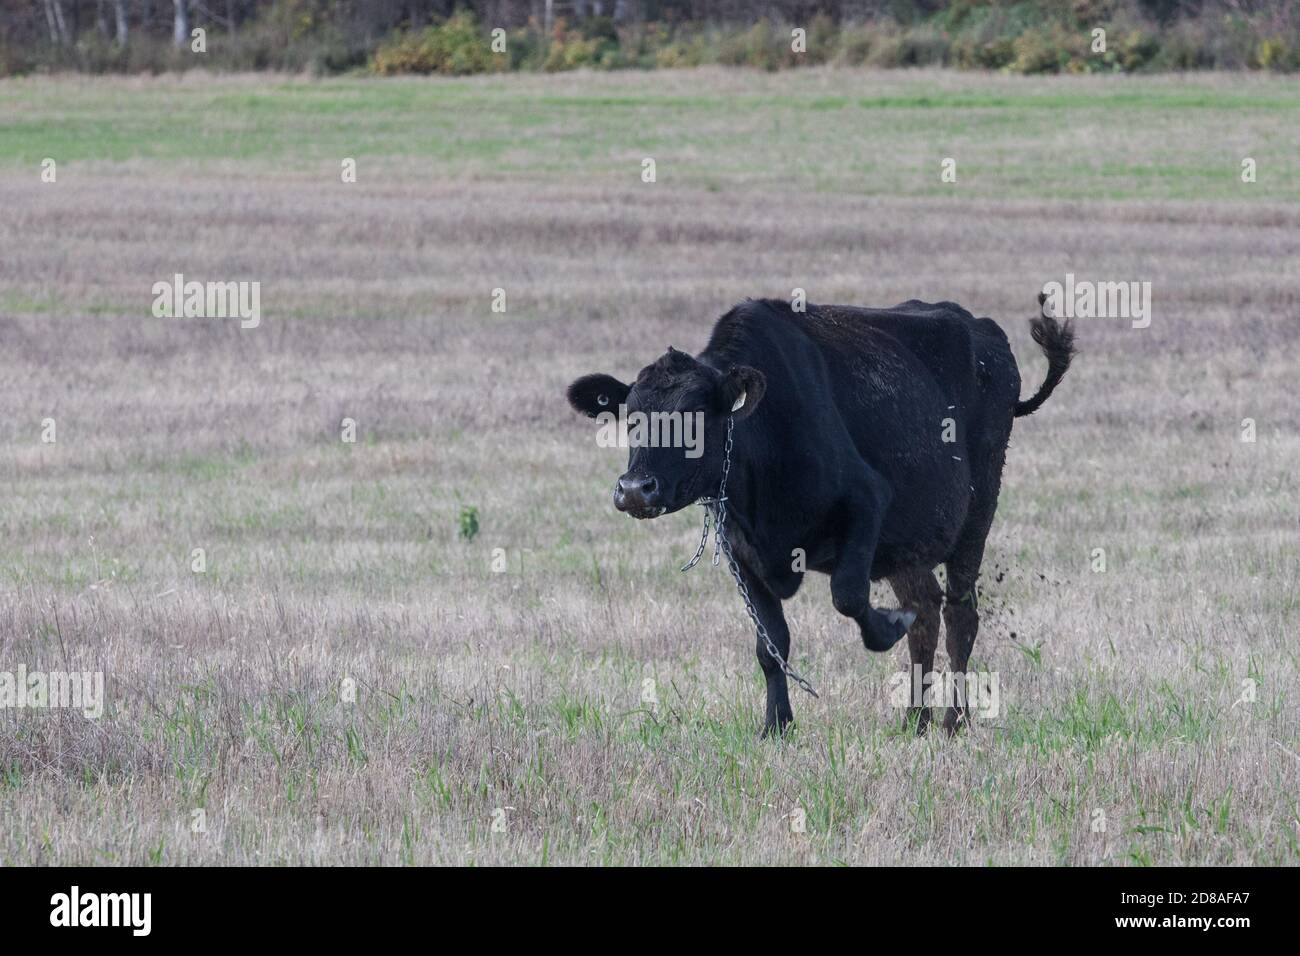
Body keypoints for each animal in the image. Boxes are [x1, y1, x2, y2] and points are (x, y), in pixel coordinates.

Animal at [566, 297, 1074, 736]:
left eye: (694, 416)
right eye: (632, 417)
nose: (635, 489)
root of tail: (984, 333)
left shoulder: (868, 501)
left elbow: (847, 595)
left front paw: (886, 627)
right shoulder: (740, 549)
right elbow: (771, 643)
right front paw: (776, 725)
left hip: (977, 514)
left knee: (959, 617)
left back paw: (954, 721)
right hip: (907, 546)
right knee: (928, 611)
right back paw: (915, 720)